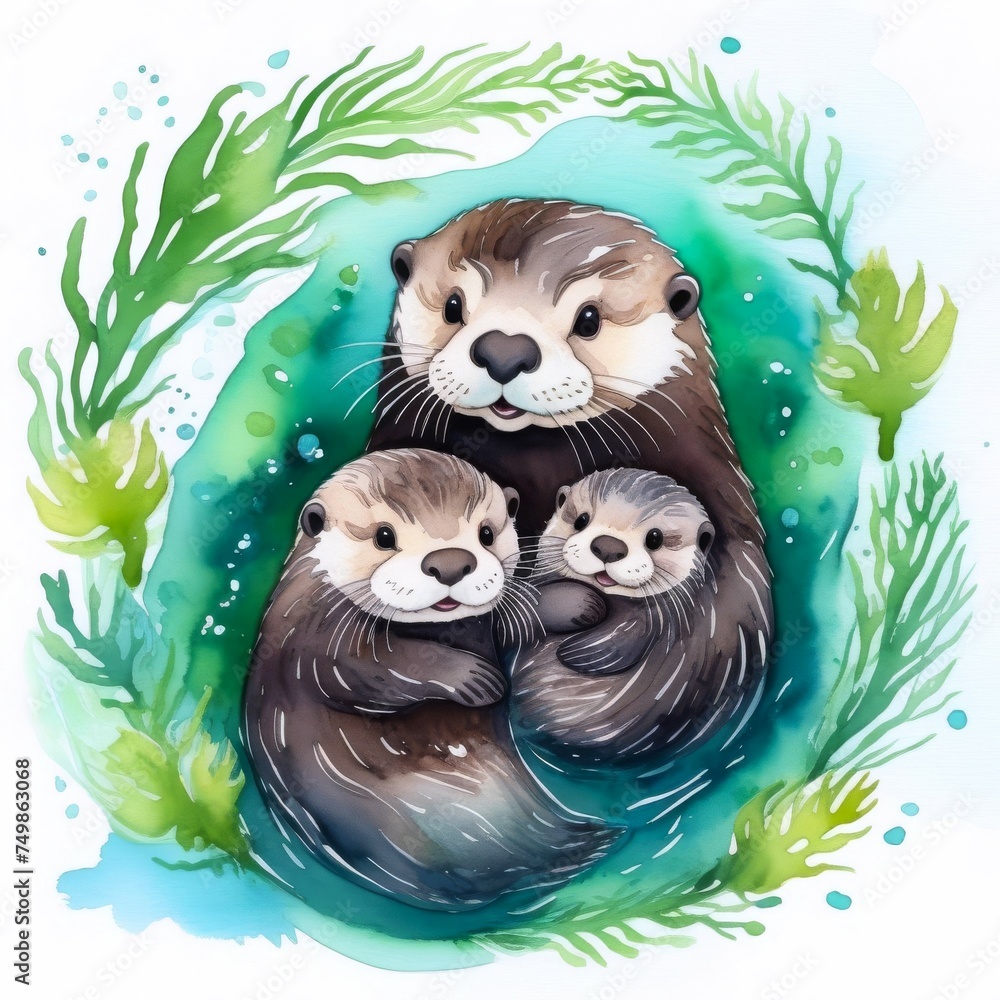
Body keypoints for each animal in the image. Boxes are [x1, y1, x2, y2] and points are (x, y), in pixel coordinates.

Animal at [242, 449, 621, 910]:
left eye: (487, 533)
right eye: (383, 536)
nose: (451, 563)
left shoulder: (484, 623)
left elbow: (515, 616)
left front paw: (578, 601)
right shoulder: (310, 637)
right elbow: (371, 667)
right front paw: (476, 679)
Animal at [511, 468, 720, 760]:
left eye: (655, 538)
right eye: (581, 520)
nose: (608, 546)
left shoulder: (657, 619)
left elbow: (630, 635)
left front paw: (573, 652)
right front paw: (583, 606)